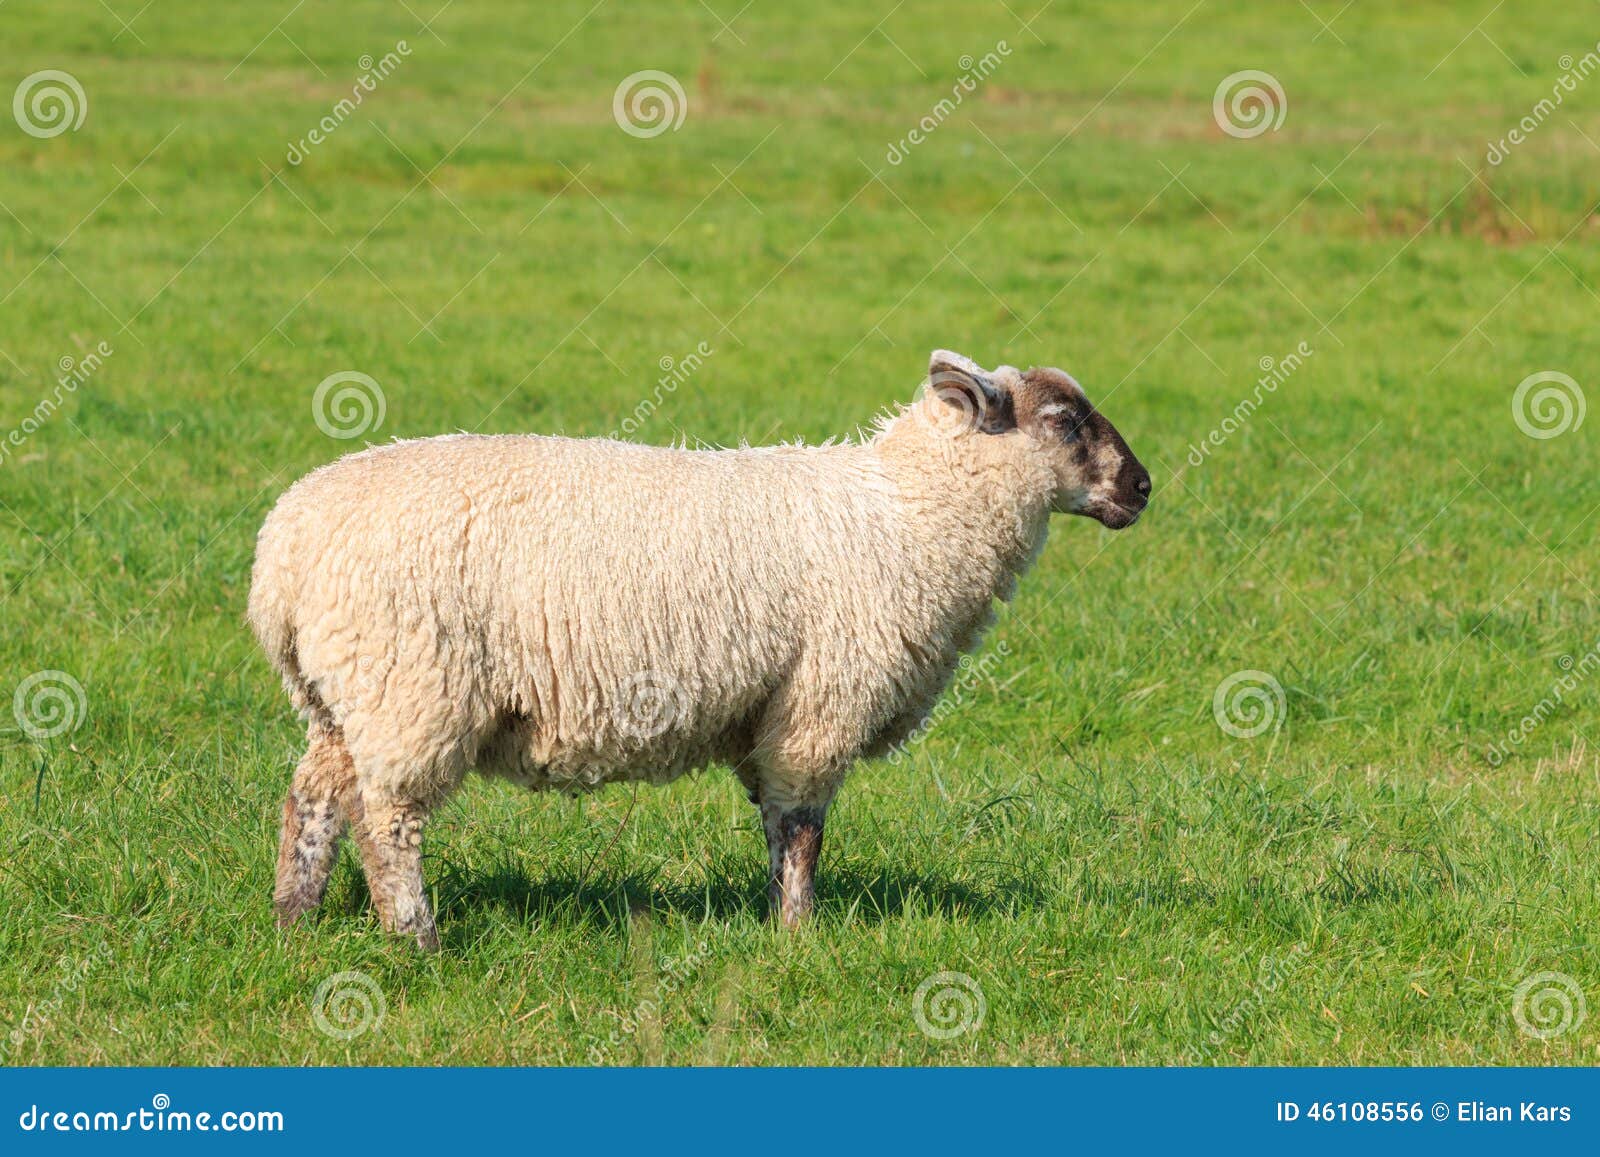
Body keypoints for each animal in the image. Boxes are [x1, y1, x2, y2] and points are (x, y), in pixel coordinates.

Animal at [249, 350, 1151, 948]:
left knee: (314, 799)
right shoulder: (818, 704)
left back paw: (294, 921)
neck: (910, 512)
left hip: (344, 697)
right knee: (386, 820)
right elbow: (802, 829)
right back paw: (417, 941)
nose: (1142, 488)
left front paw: (781, 922)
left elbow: (777, 828)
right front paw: (799, 936)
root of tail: (281, 556)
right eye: (1065, 421)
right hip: (411, 690)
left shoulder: (770, 713)